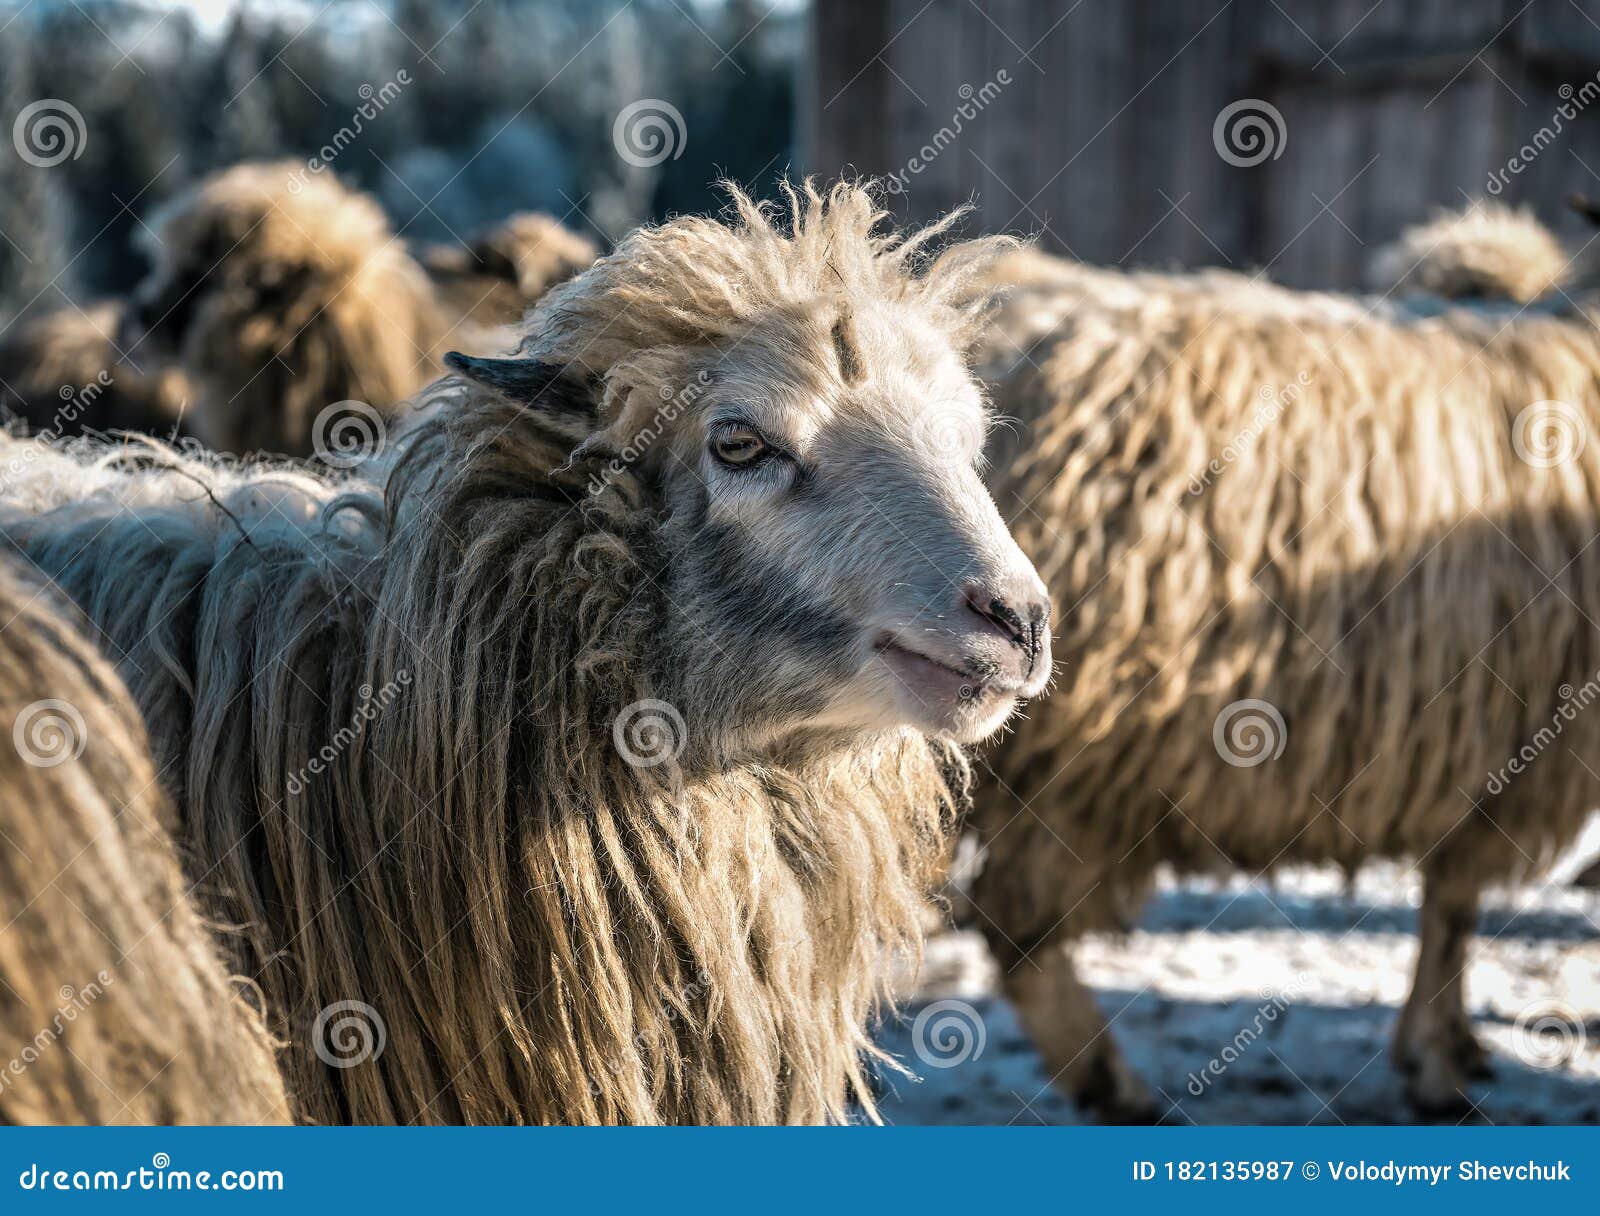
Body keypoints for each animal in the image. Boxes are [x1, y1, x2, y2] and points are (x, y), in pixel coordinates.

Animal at [970, 248, 1600, 1119]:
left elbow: (1449, 908)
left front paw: (1449, 1047)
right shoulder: (1498, 761)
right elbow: (1453, 908)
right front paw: (1437, 1065)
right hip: (1072, 766)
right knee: (1014, 929)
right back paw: (1114, 1084)